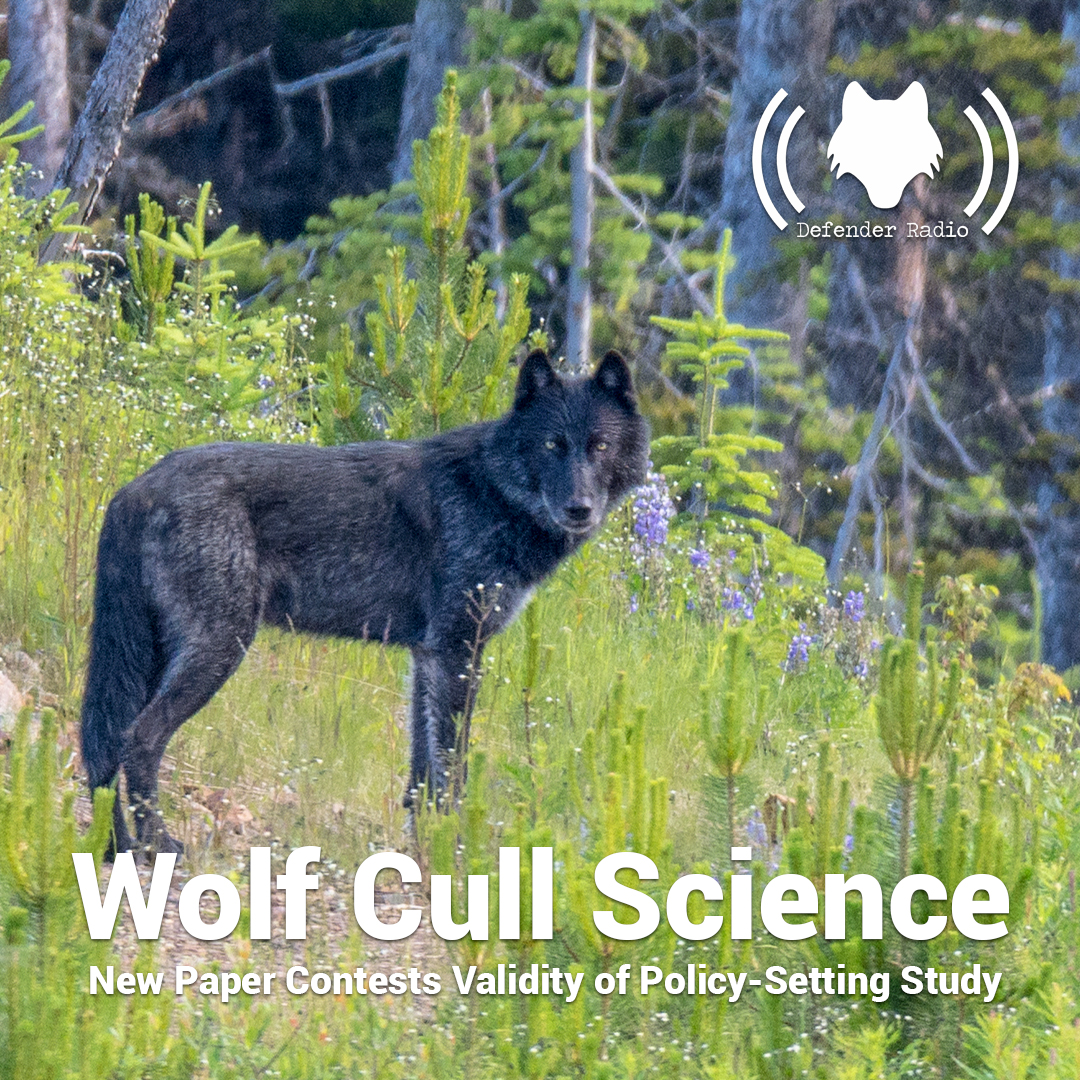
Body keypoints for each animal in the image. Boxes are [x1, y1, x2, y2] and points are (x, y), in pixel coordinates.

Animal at [81, 350, 649, 855]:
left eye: (599, 445)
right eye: (553, 445)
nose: (579, 508)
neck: (490, 489)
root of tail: (133, 490)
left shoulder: (428, 656)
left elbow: (422, 777)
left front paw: (425, 849)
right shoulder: (458, 650)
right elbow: (452, 767)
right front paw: (458, 850)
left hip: (151, 656)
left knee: (102, 745)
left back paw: (115, 848)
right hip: (218, 648)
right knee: (139, 738)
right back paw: (157, 844)